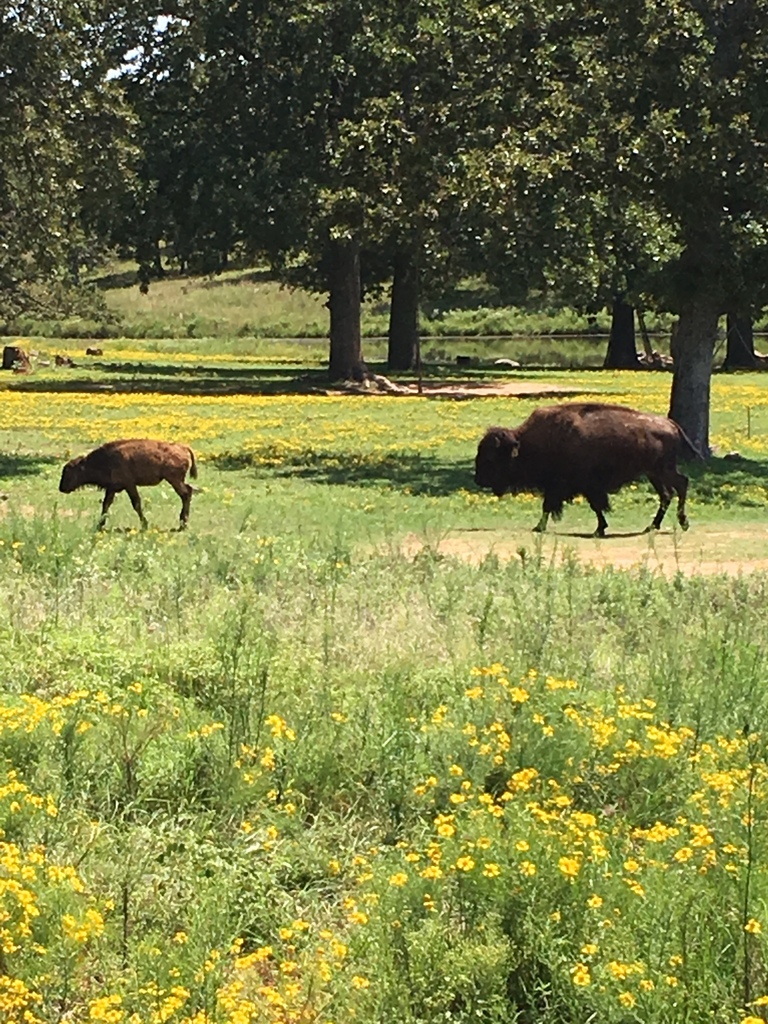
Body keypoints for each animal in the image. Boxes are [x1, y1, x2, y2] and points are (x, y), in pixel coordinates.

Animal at [59, 439, 198, 530]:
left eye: (69, 472)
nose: (61, 488)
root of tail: (183, 447)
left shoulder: (129, 485)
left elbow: (136, 504)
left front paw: (145, 525)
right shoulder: (112, 488)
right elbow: (106, 504)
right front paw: (99, 525)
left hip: (174, 480)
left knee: (186, 494)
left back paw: (183, 524)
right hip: (177, 480)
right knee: (188, 491)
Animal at [474, 402, 700, 537]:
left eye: (491, 458)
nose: (479, 479)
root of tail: (670, 423)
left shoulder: (569, 485)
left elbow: (555, 505)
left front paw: (539, 527)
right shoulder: (580, 487)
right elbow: (595, 507)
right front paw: (600, 528)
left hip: (663, 470)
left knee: (681, 484)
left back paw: (683, 523)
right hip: (653, 473)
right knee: (667, 494)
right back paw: (652, 526)